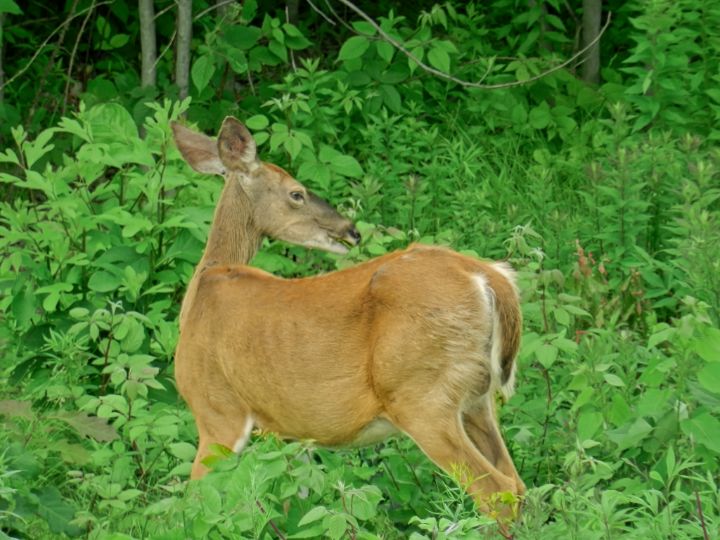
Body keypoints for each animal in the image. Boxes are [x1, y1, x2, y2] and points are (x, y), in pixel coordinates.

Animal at [171, 117, 526, 519]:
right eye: (297, 193)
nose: (351, 230)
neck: (205, 286)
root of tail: (490, 278)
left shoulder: (215, 408)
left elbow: (191, 504)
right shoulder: (290, 432)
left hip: (421, 396)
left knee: (496, 490)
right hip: (477, 400)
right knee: (517, 484)